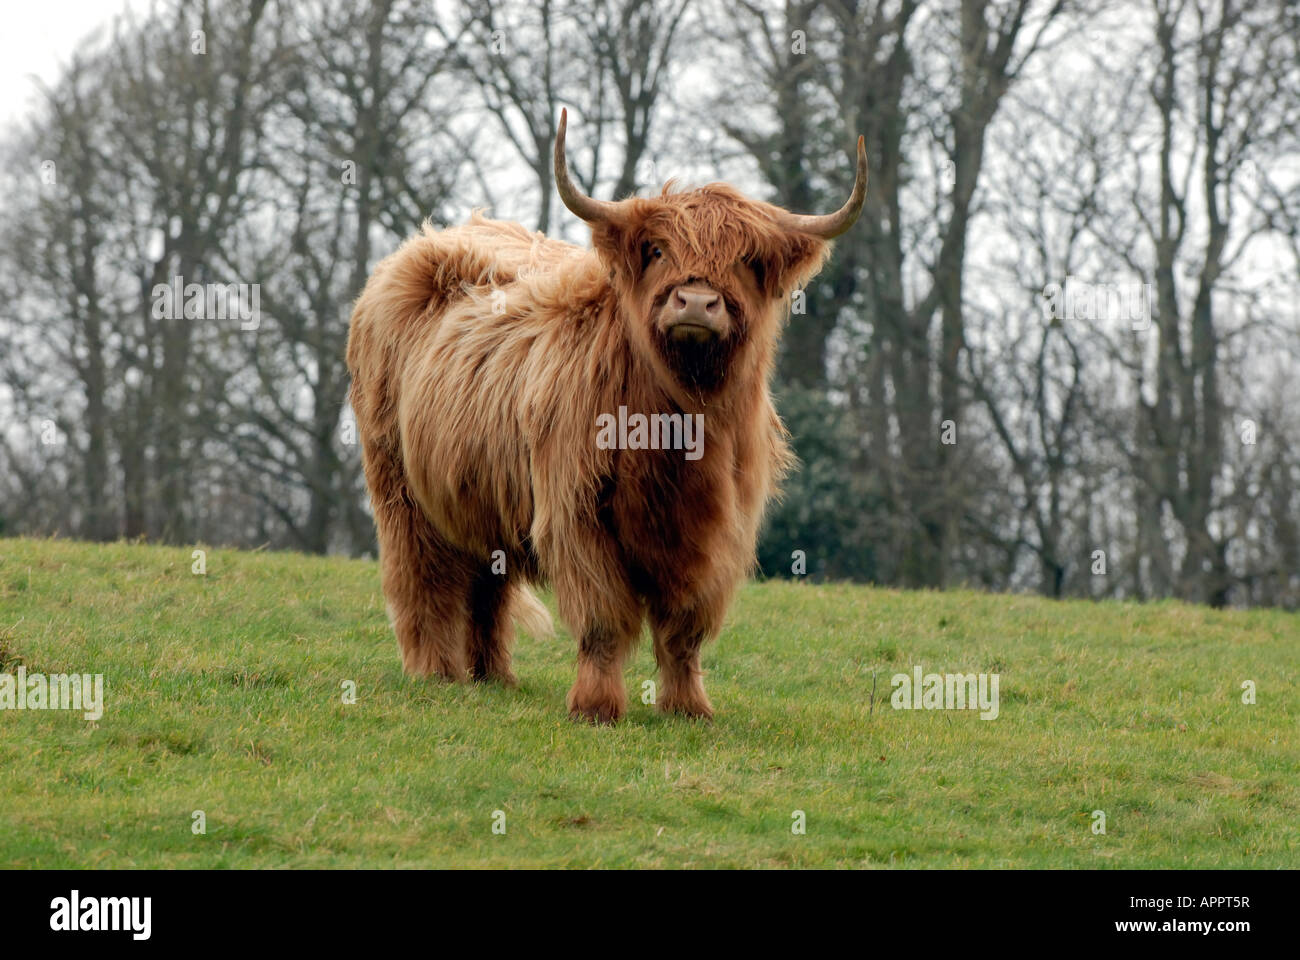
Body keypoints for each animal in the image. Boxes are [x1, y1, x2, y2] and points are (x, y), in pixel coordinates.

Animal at [346, 110, 866, 723]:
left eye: (745, 260)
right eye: (659, 251)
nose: (695, 303)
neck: (675, 435)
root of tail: (425, 243)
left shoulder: (716, 530)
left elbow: (685, 629)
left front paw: (688, 707)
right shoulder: (577, 514)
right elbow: (603, 619)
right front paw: (595, 706)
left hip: (480, 494)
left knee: (487, 587)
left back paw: (493, 676)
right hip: (399, 487)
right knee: (422, 577)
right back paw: (436, 672)